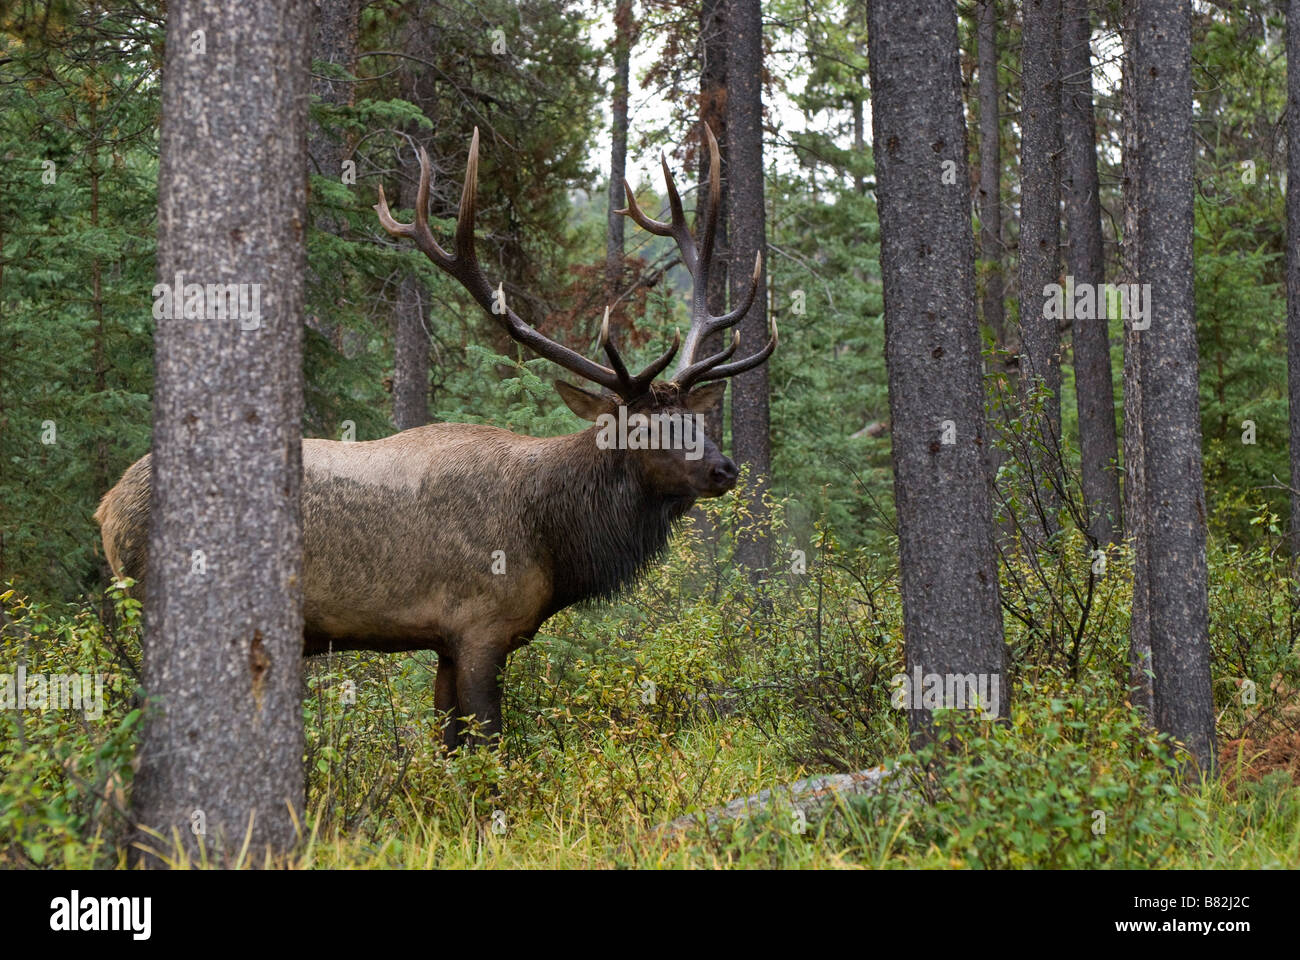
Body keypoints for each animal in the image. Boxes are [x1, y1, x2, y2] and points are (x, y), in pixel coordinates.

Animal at [94, 123, 776, 749]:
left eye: (697, 418)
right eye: (639, 426)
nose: (724, 469)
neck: (553, 543)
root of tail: (107, 505)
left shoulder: (445, 641)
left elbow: (447, 750)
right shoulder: (479, 626)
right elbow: (489, 751)